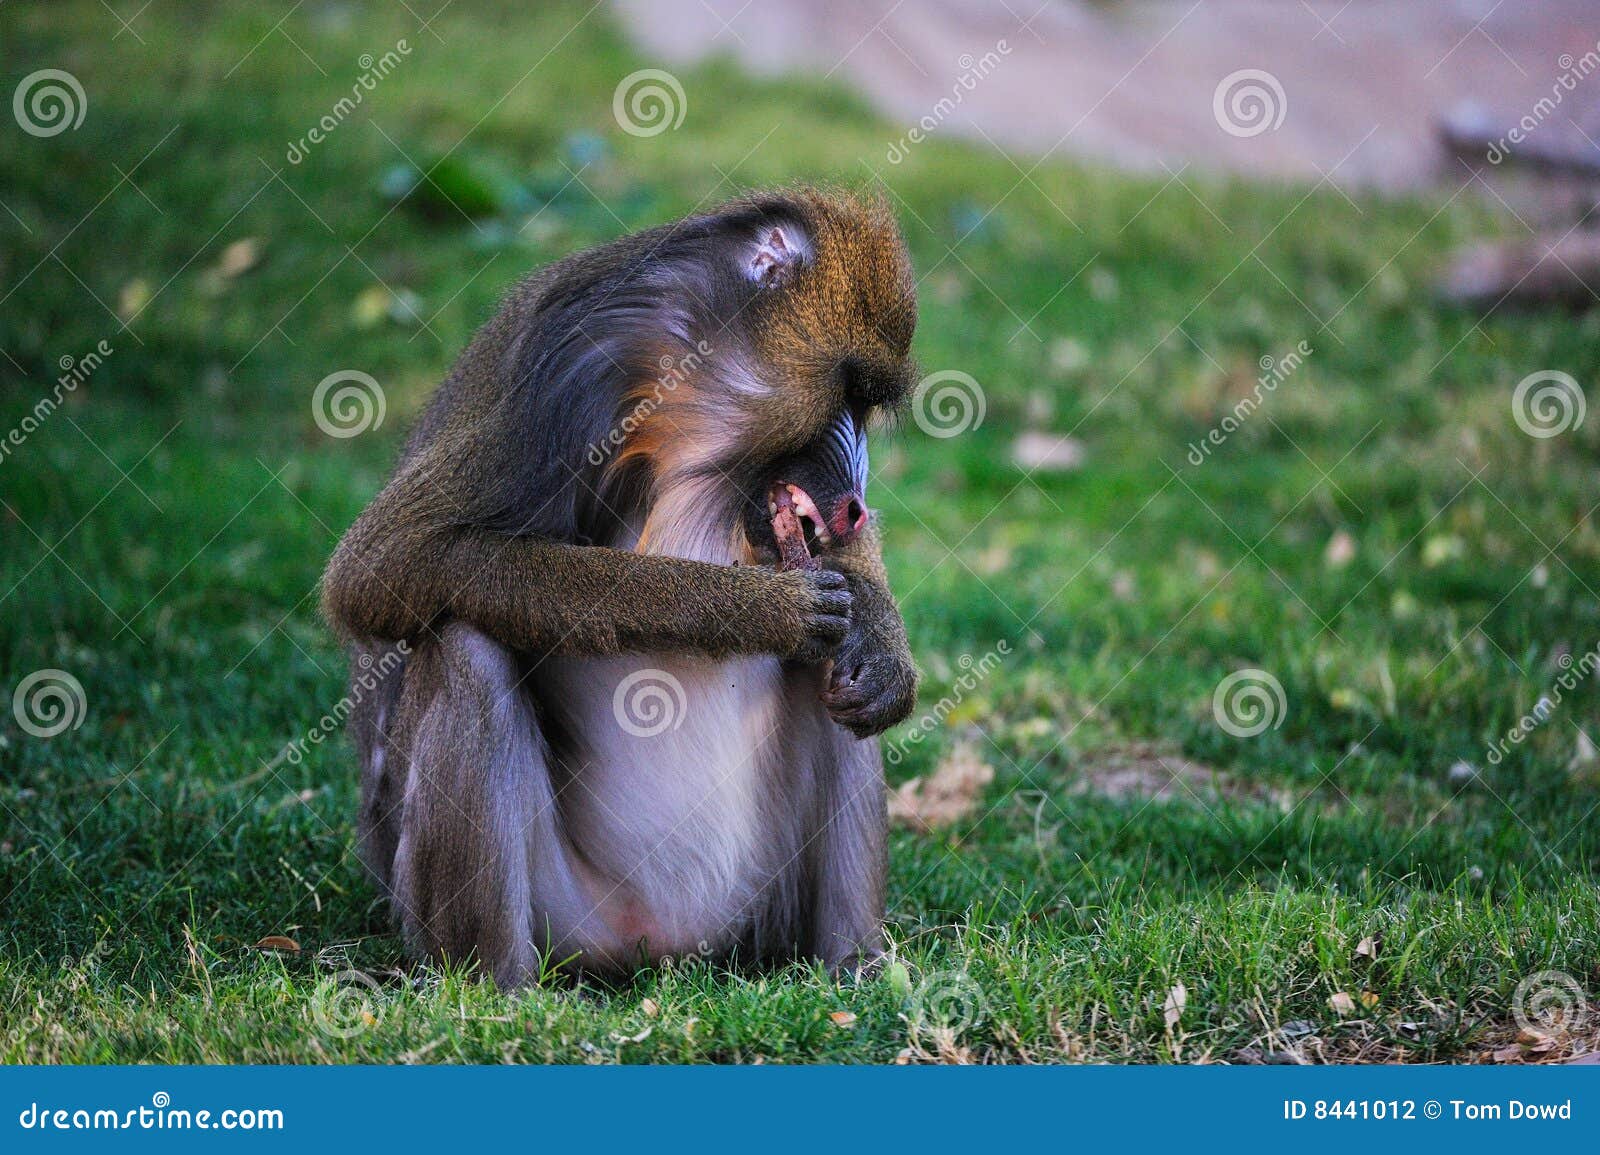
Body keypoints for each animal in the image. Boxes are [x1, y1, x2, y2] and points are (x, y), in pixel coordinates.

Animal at [320, 187, 920, 986]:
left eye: (865, 405)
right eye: (847, 393)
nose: (854, 501)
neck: (680, 401)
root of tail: (665, 950)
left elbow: (846, 607)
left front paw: (882, 648)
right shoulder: (550, 391)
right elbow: (383, 565)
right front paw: (761, 612)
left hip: (763, 902)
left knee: (832, 682)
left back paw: (856, 967)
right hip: (559, 918)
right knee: (466, 647)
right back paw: (498, 989)